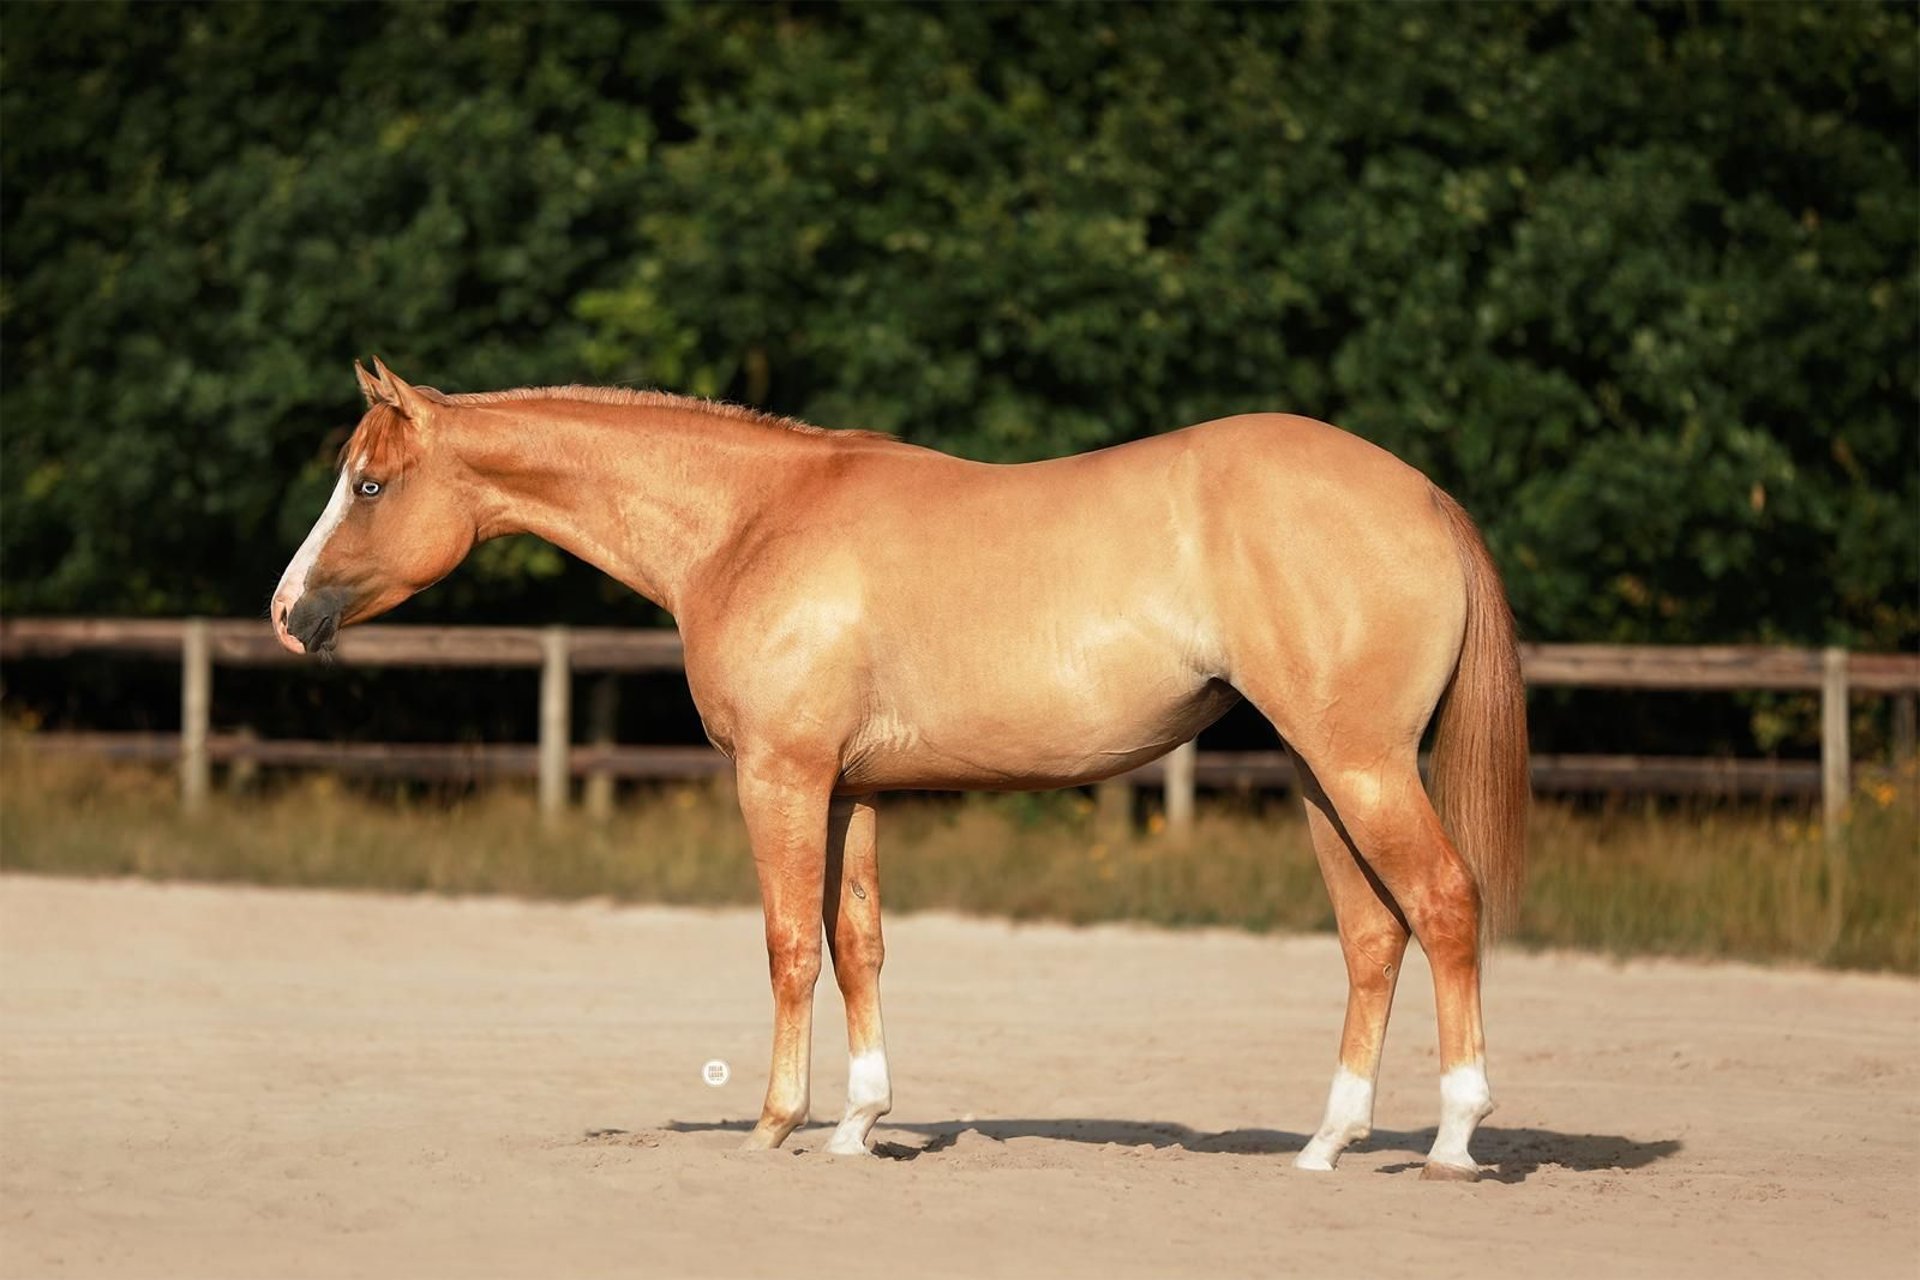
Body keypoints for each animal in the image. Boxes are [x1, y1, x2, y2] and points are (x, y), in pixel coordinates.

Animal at [272, 358, 1528, 1180]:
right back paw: (1327, 1142)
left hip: (1360, 767)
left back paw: (1455, 1137)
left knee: (1443, 904)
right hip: (1323, 774)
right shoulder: (853, 790)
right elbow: (857, 942)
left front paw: (777, 1121)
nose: (288, 613)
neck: (749, 523)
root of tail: (1422, 494)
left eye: (369, 484)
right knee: (1373, 935)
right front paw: (858, 1122)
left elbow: (788, 943)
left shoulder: (780, 776)